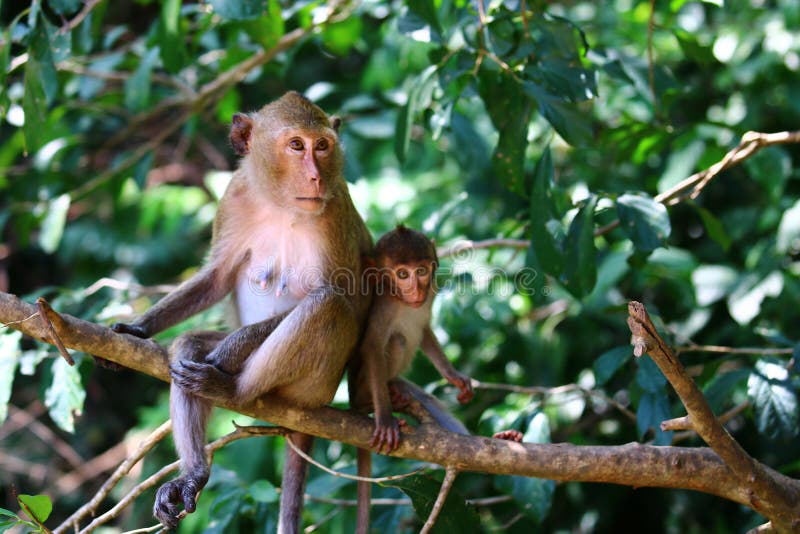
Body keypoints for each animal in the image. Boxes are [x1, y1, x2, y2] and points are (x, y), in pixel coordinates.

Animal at [111, 91, 373, 532]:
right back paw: (194, 474)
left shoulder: (337, 210)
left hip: (317, 385)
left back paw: (230, 388)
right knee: (188, 345)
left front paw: (229, 353)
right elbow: (217, 278)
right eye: (296, 145)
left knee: (327, 307)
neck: (282, 204)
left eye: (322, 146)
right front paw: (137, 329)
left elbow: (343, 297)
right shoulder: (233, 198)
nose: (316, 177)